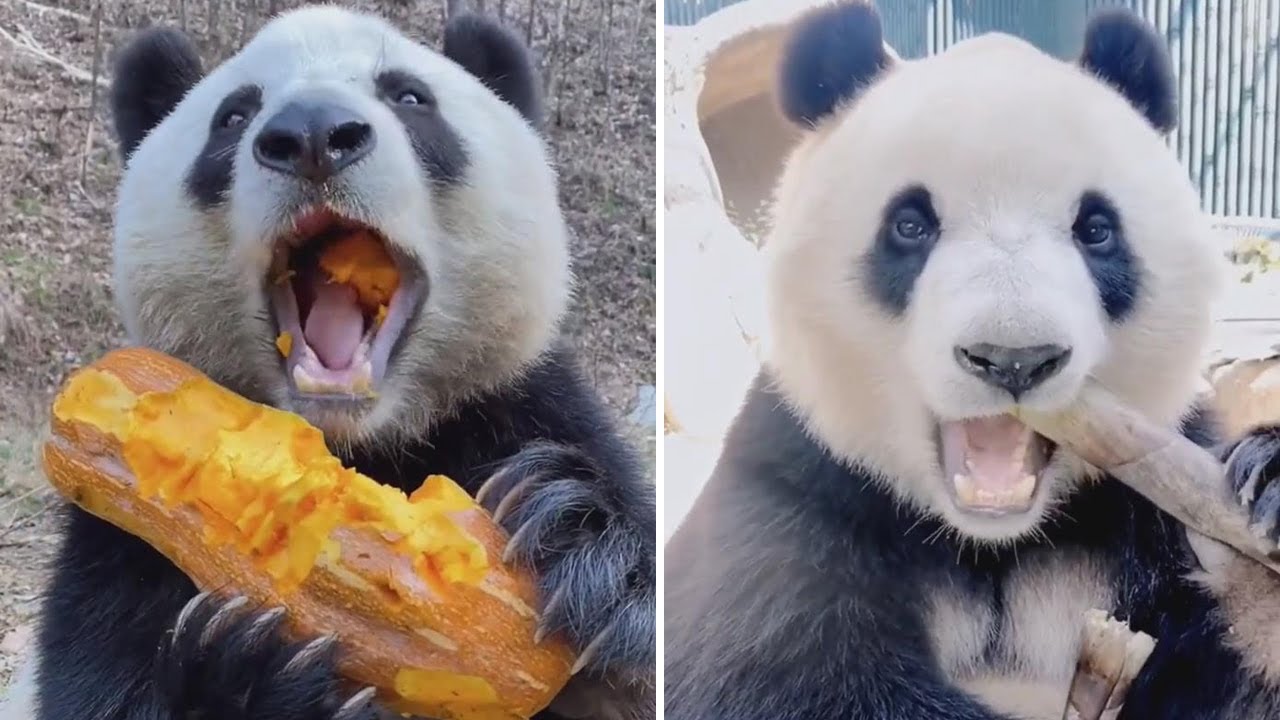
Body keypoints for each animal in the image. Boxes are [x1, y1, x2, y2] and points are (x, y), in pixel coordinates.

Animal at [24, 6, 654, 720]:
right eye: (233, 115)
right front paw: (252, 674)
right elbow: (95, 678)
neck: (358, 439)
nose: (312, 134)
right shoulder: (112, 545)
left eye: (410, 97)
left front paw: (578, 533)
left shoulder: (520, 402)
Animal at [665, 3, 1280, 719]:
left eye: (1096, 230)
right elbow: (772, 674)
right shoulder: (796, 488)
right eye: (909, 225)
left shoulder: (1144, 515)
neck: (991, 540)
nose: (1013, 359)